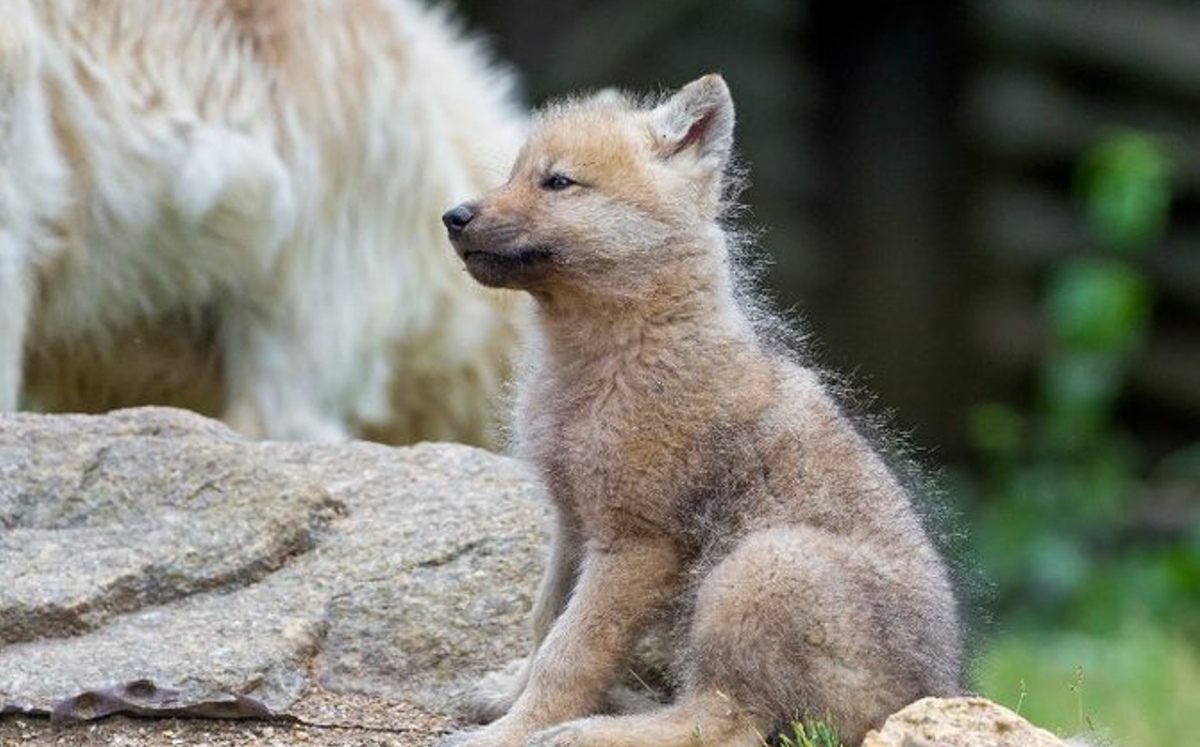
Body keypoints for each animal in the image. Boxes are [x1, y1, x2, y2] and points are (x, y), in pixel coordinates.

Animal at [441, 75, 963, 746]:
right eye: (511, 173)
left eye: (557, 182)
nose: (453, 217)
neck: (605, 363)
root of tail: (930, 694)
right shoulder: (572, 521)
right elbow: (543, 622)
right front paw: (510, 698)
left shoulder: (637, 542)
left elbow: (571, 650)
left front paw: (513, 729)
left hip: (760, 566)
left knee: (724, 721)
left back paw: (590, 730)